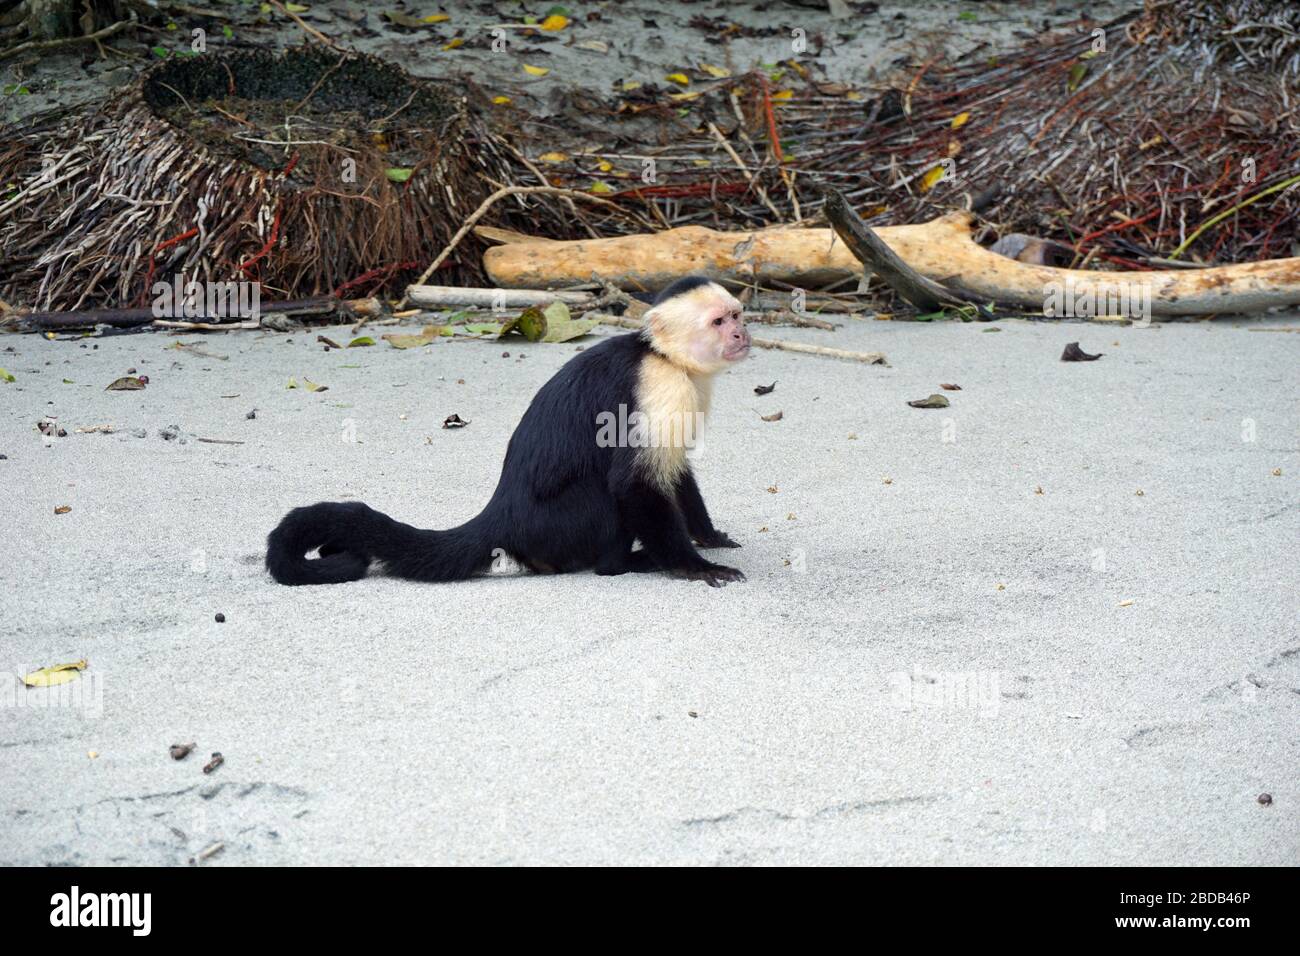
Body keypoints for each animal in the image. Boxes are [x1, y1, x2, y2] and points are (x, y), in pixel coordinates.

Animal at [265, 276, 752, 588]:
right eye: (719, 322)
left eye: (737, 315)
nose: (743, 335)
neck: (664, 357)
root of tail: (501, 514)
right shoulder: (659, 385)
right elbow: (636, 482)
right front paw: (693, 566)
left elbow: (676, 470)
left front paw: (708, 536)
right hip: (561, 524)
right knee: (606, 495)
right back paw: (625, 562)